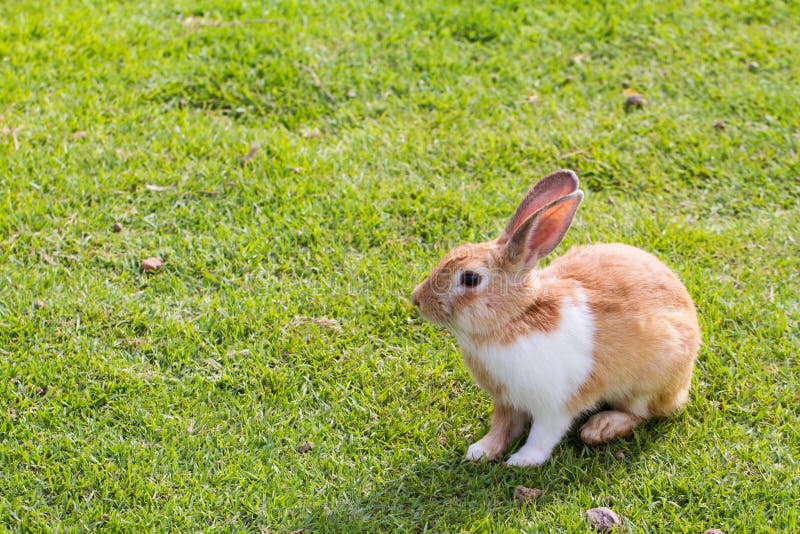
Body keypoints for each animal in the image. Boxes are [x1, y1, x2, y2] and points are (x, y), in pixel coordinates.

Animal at [411, 170, 700, 467]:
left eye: (470, 278)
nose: (417, 299)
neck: (517, 317)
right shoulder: (506, 400)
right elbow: (501, 426)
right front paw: (481, 451)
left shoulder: (555, 406)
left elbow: (542, 435)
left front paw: (522, 460)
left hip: (648, 384)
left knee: (643, 413)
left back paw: (600, 428)